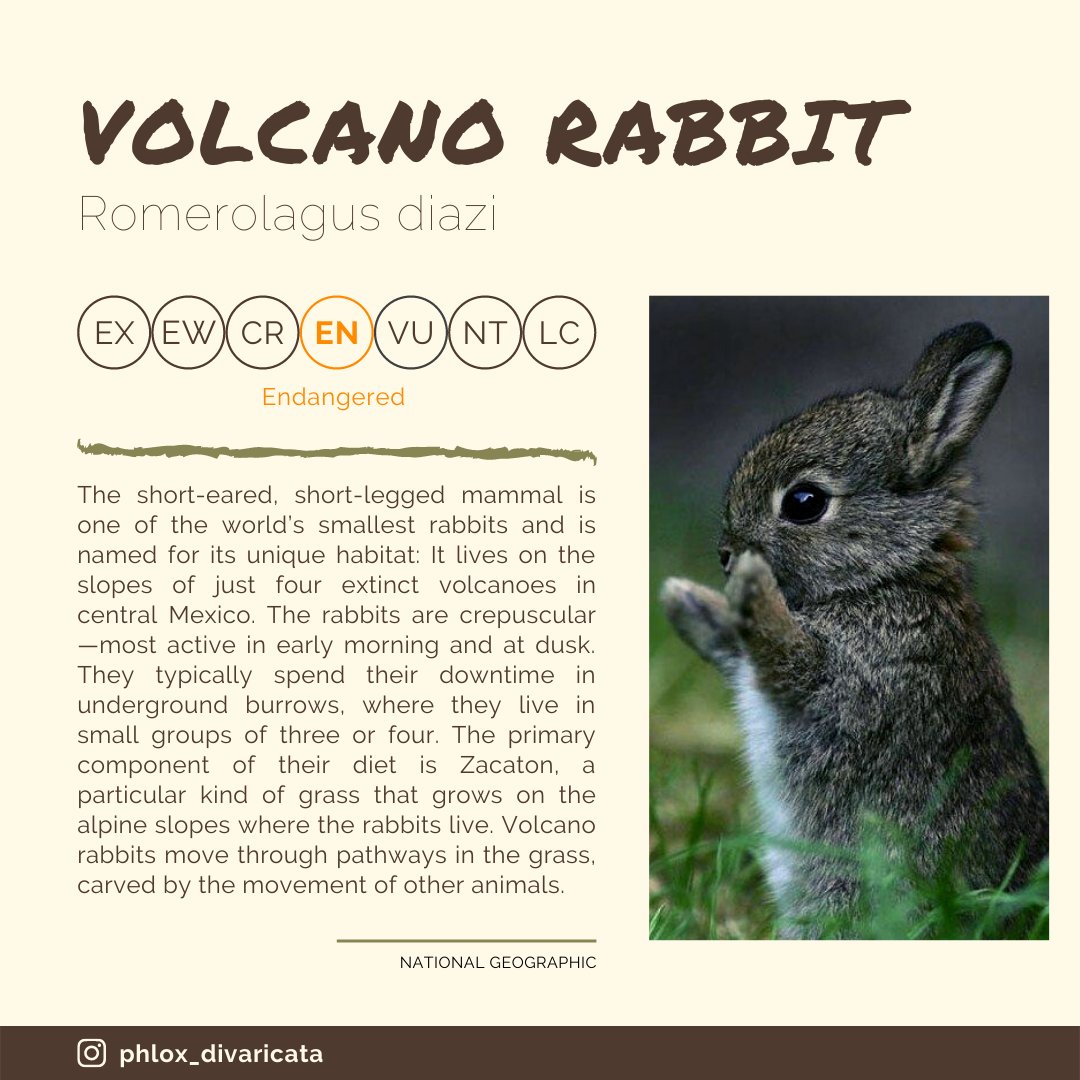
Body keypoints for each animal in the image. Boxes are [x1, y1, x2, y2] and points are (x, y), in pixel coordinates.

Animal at [660, 322, 1048, 936]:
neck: (884, 578)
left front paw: (750, 586)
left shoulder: (857, 679)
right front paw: (686, 599)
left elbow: (785, 655)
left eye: (804, 502)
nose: (725, 554)